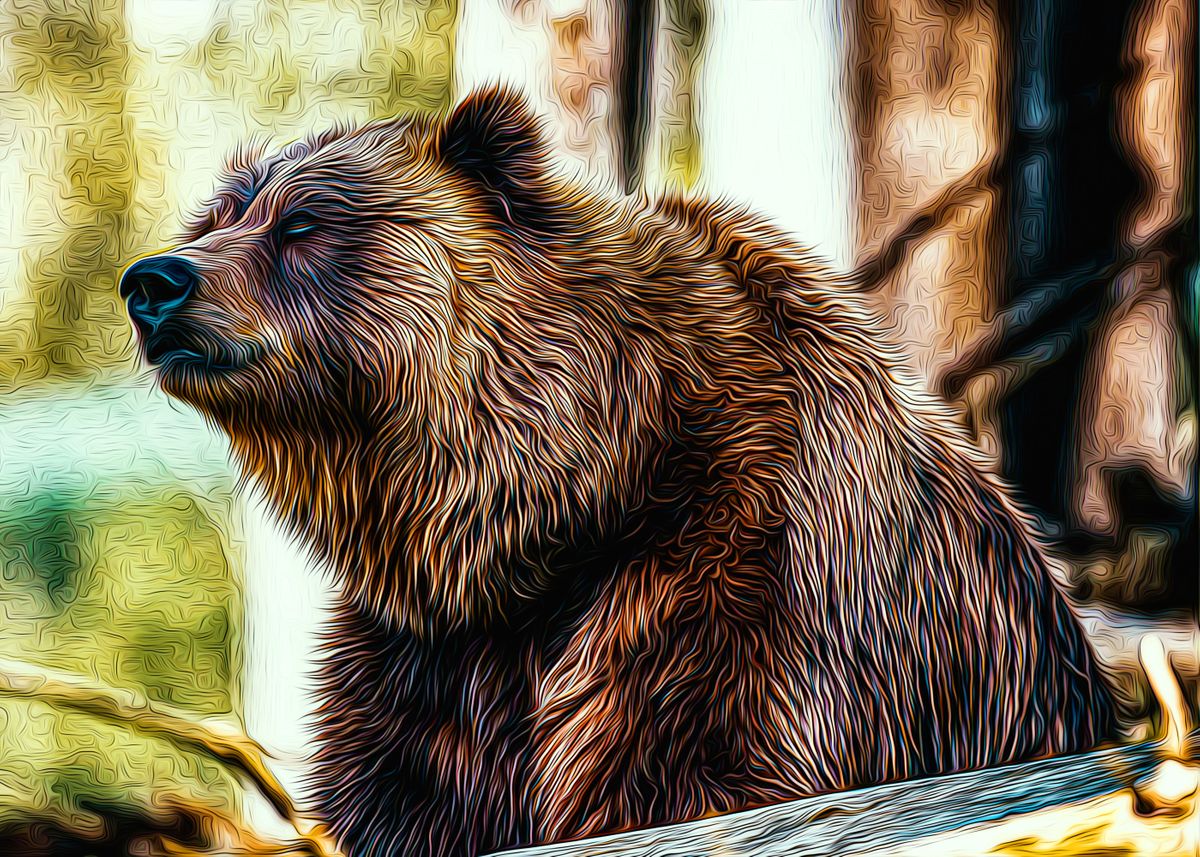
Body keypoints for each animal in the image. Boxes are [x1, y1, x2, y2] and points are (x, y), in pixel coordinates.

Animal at [120, 87, 1116, 857]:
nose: (155, 282)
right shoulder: (431, 657)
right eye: (218, 217)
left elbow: (692, 764)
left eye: (305, 224)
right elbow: (407, 791)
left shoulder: (743, 580)